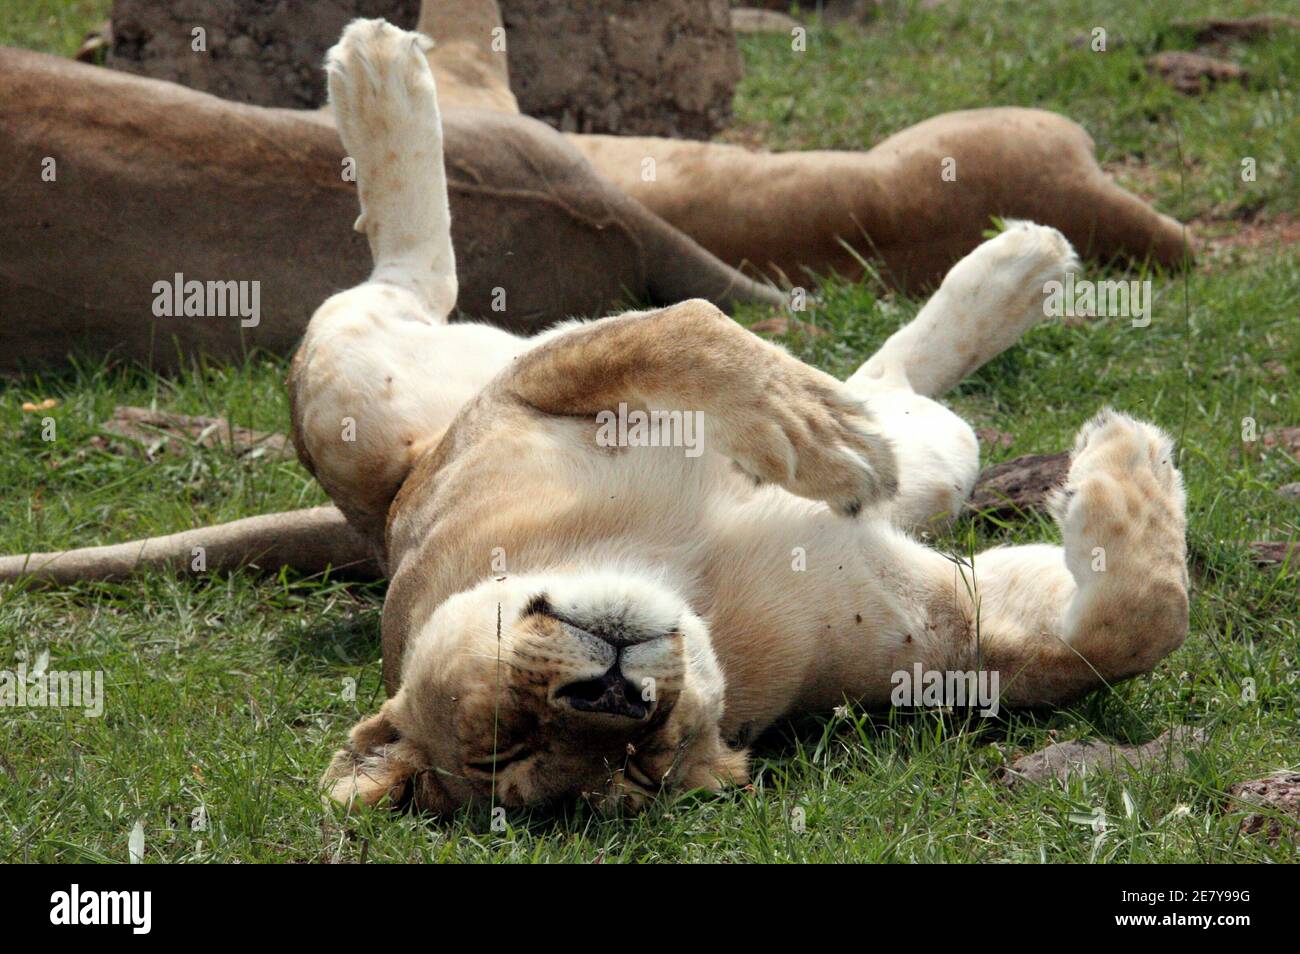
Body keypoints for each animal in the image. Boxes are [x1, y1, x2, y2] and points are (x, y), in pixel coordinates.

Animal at [294, 20, 1189, 814]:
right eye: (638, 761)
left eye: (501, 729)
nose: (611, 694)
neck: (673, 571)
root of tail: (382, 503)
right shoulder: (952, 633)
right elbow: (1131, 631)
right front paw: (1127, 467)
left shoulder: (524, 390)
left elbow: (684, 329)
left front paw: (818, 436)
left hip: (358, 405)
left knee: (410, 273)